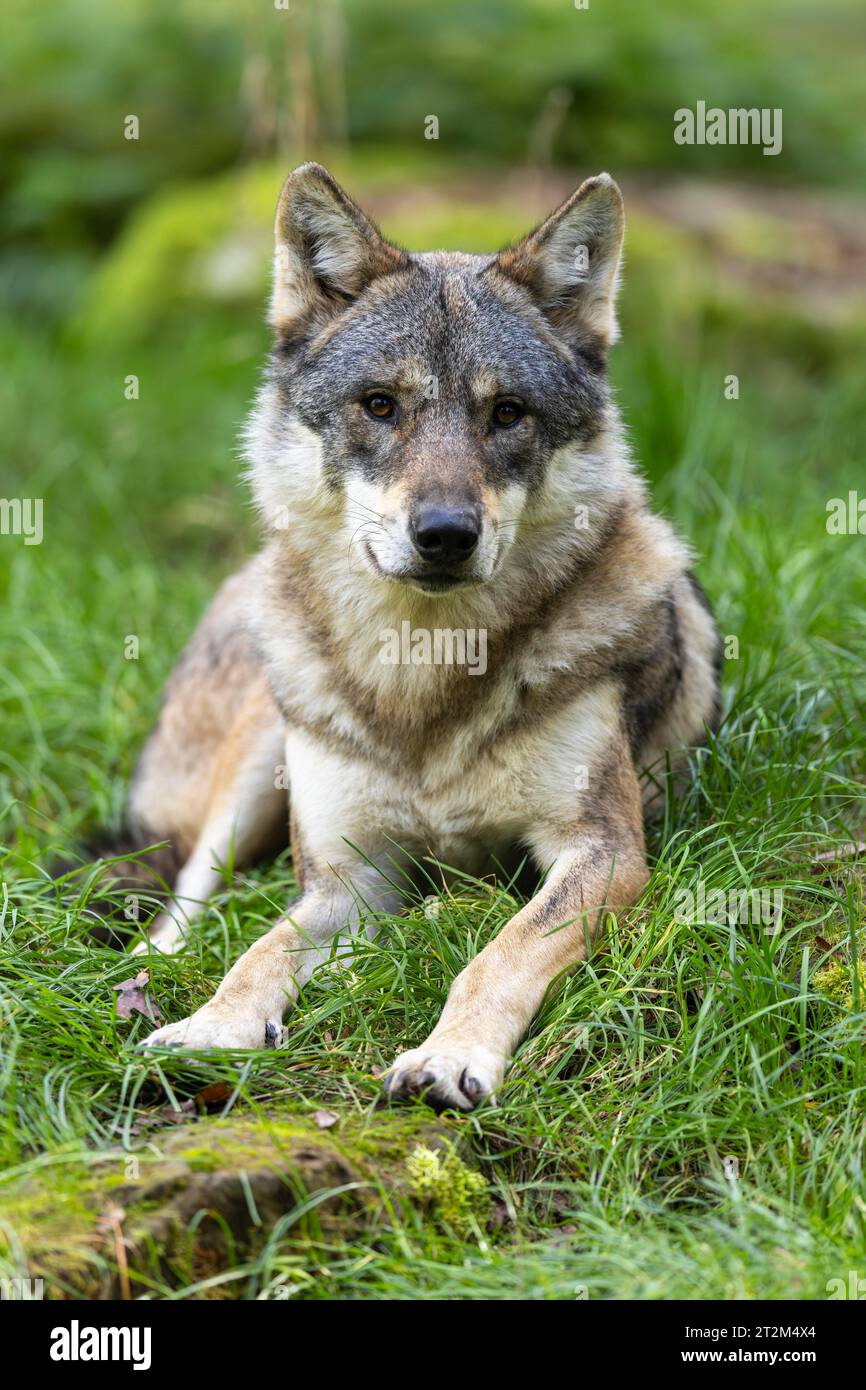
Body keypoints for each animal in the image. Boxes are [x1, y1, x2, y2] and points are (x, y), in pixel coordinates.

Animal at [107, 163, 721, 1109]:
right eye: (380, 405)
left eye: (507, 414)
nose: (444, 534)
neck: (422, 678)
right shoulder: (350, 876)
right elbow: (259, 953)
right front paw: (210, 1028)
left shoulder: (604, 851)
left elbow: (500, 952)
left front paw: (448, 1056)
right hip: (257, 761)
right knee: (187, 895)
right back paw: (142, 969)